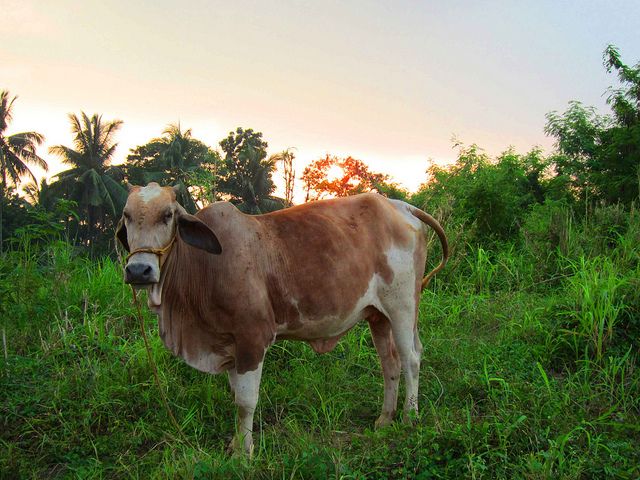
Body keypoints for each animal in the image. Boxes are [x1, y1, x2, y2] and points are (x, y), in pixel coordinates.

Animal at [116, 182, 448, 455]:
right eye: (127, 216)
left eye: (168, 215)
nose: (139, 270)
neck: (204, 266)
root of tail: (401, 205)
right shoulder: (231, 343)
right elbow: (236, 395)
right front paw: (237, 444)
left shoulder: (252, 338)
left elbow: (245, 401)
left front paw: (243, 454)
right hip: (378, 316)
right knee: (390, 363)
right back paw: (385, 418)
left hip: (403, 305)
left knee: (411, 358)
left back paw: (410, 417)